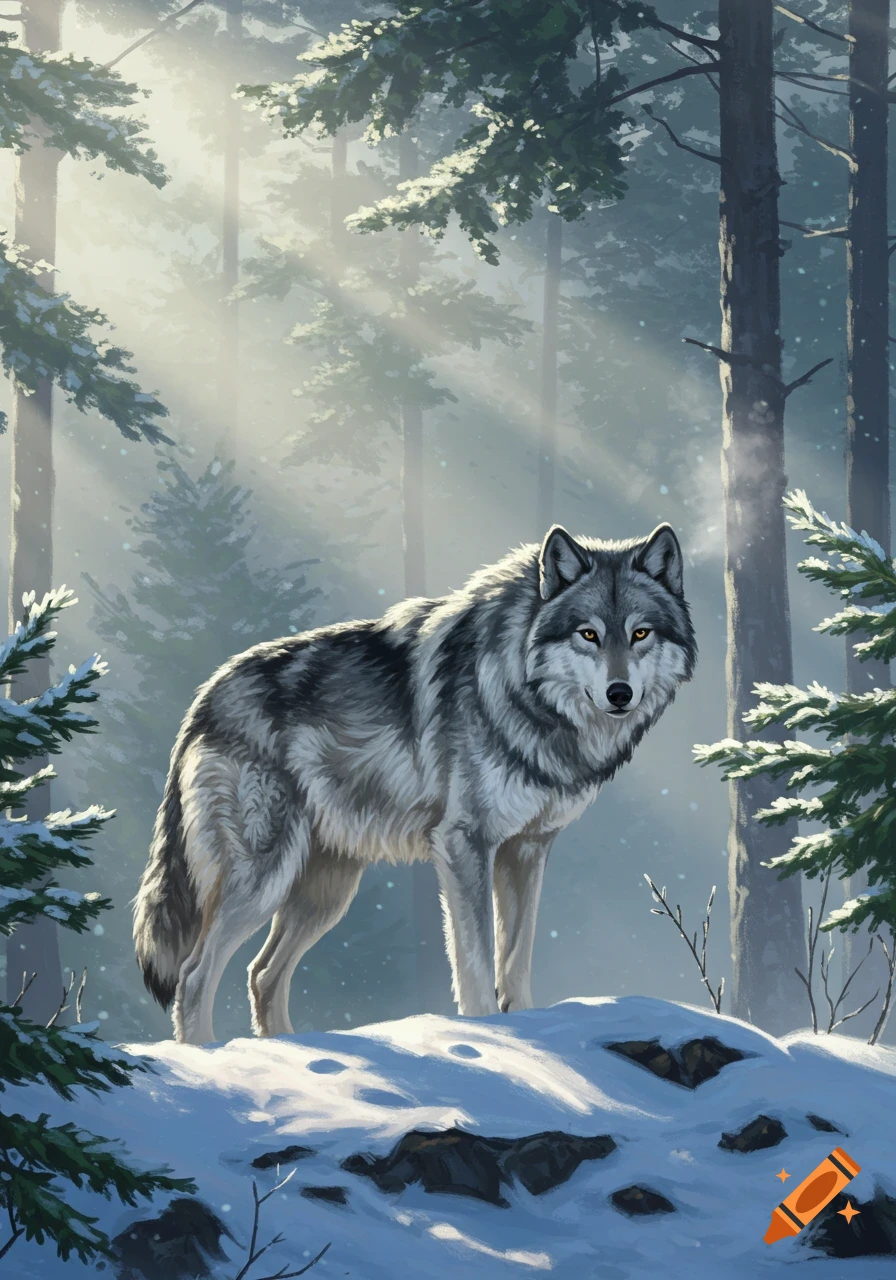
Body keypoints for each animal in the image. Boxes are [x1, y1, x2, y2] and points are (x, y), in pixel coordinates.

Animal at [134, 523, 696, 1044]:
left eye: (641, 633)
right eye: (588, 634)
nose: (620, 693)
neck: (520, 688)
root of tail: (204, 697)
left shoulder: (528, 848)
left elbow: (516, 957)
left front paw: (527, 1031)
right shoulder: (464, 843)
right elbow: (476, 960)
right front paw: (489, 1034)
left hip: (325, 891)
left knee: (262, 974)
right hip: (263, 877)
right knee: (194, 976)